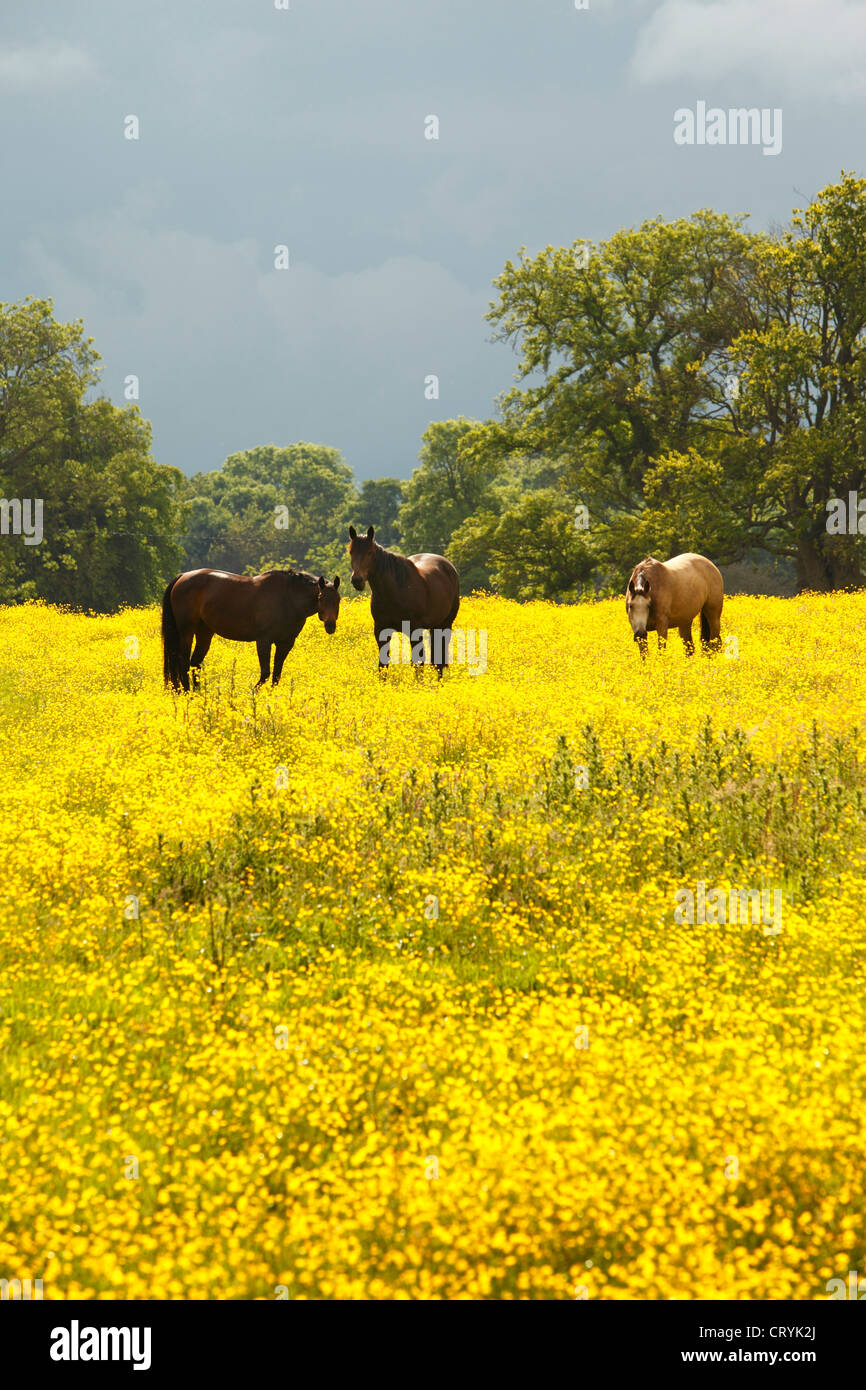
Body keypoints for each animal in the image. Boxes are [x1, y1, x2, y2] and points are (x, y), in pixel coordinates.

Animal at [161, 567, 341, 691]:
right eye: (321, 598)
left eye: (338, 599)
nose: (330, 626)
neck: (288, 598)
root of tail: (182, 576)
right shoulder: (264, 641)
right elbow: (266, 672)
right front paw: (253, 692)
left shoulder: (285, 643)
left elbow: (276, 674)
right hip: (186, 631)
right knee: (183, 662)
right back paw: (186, 692)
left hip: (204, 633)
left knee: (195, 663)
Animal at [347, 525, 460, 675]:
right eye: (351, 552)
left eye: (370, 552)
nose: (357, 580)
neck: (394, 591)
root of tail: (449, 567)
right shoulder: (381, 630)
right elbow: (383, 665)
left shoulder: (415, 631)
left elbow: (418, 663)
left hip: (445, 624)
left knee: (439, 661)